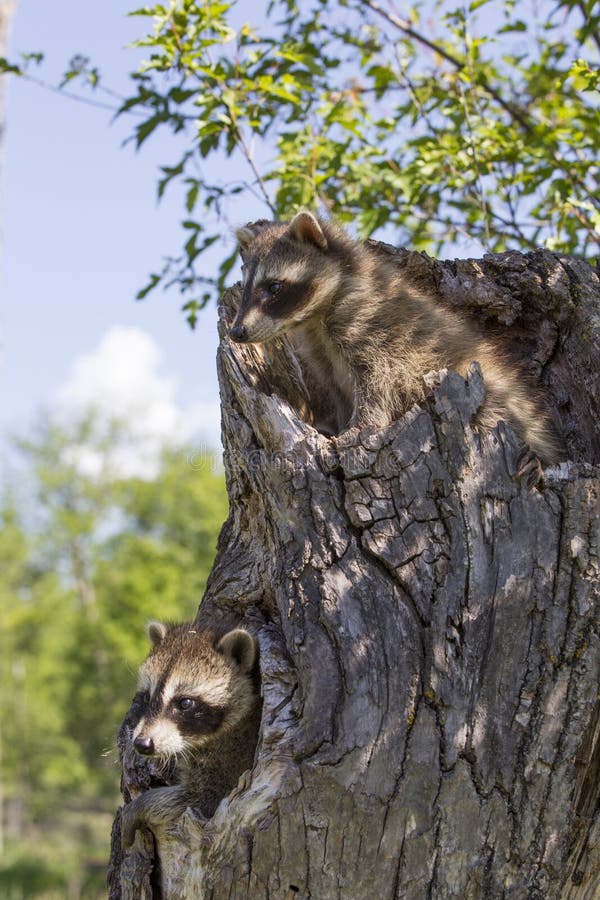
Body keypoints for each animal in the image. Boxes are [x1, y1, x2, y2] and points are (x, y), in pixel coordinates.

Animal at [120, 621, 261, 849]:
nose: (142, 744)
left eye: (185, 703)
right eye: (147, 697)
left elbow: (204, 798)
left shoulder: (230, 756)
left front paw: (142, 805)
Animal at [229, 212, 561, 477]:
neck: (318, 314)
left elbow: (378, 382)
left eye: (273, 287)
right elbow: (338, 390)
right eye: (245, 289)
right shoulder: (319, 348)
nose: (237, 332)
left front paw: (358, 427)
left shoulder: (373, 327)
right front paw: (339, 424)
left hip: (493, 391)